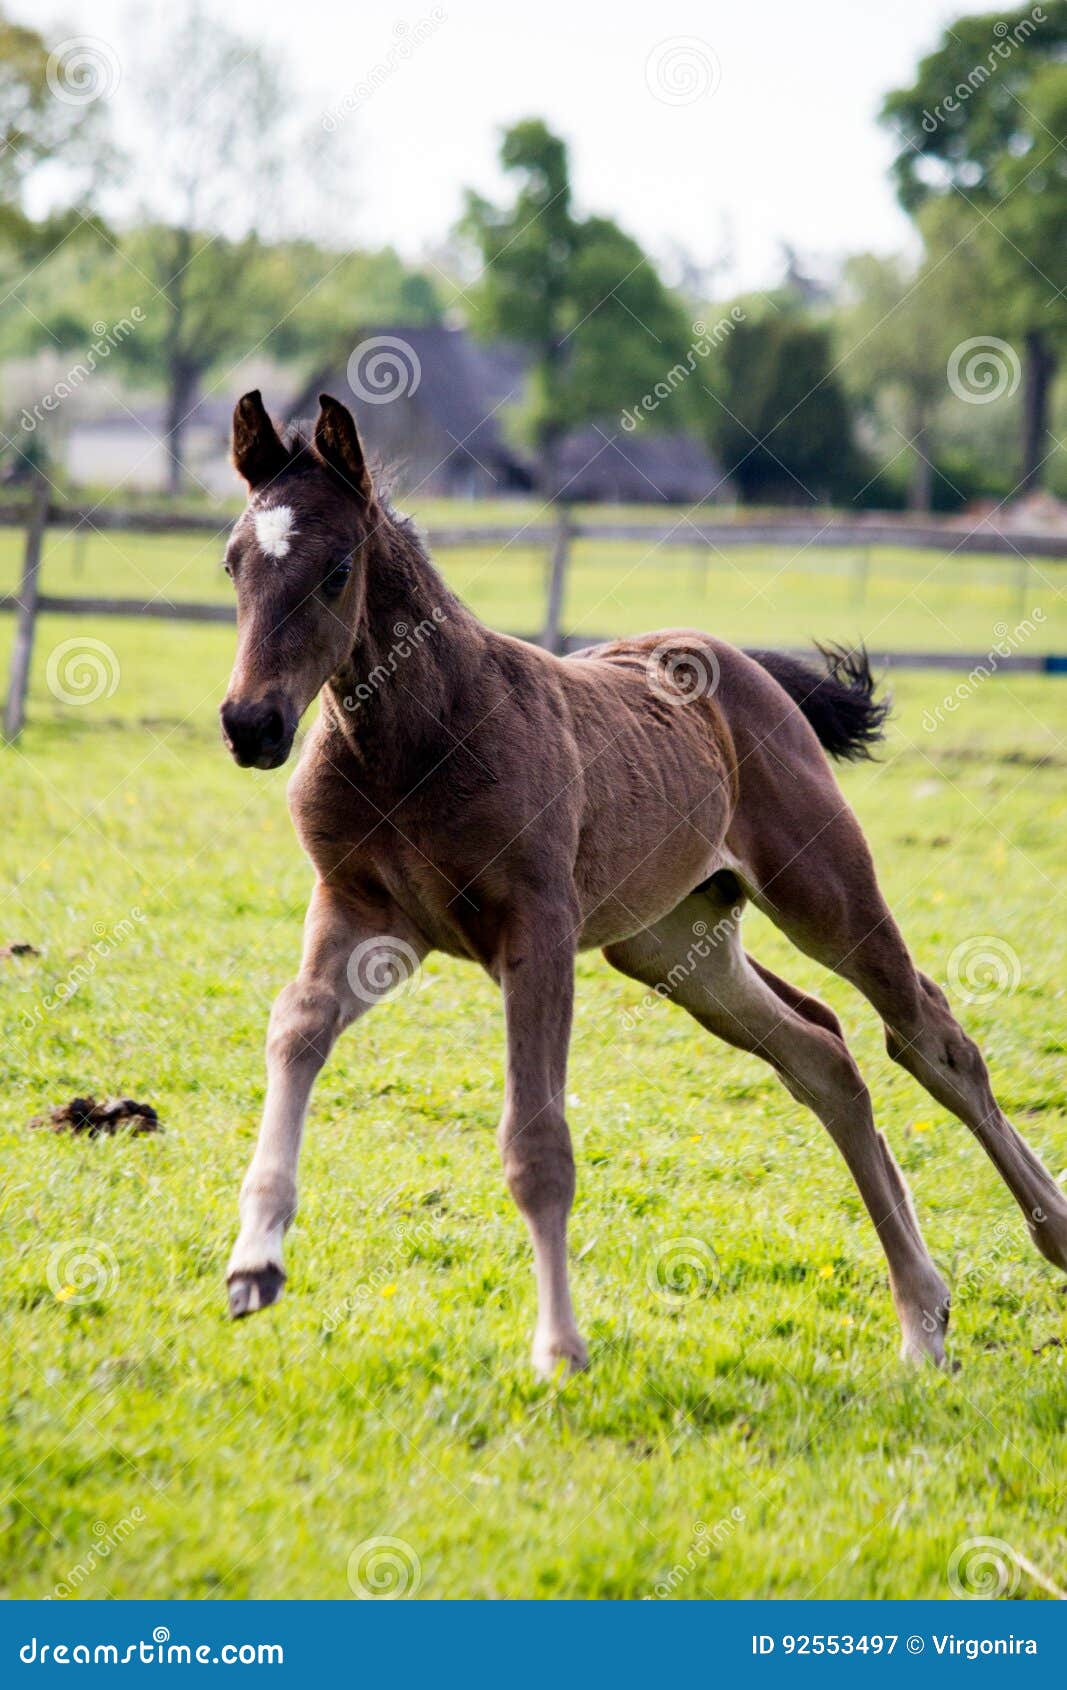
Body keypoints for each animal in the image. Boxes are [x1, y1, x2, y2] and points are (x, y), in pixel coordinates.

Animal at [219, 389, 1067, 1375]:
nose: (250, 723)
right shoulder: (364, 912)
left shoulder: (537, 930)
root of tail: (741, 663)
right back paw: (922, 1317)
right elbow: (298, 1025)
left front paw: (558, 1347)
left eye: (338, 569)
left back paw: (1042, 1240)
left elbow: (537, 1138)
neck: (412, 739)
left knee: (930, 1039)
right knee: (822, 1055)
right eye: (232, 562)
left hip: (821, 890)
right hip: (675, 947)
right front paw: (254, 1263)